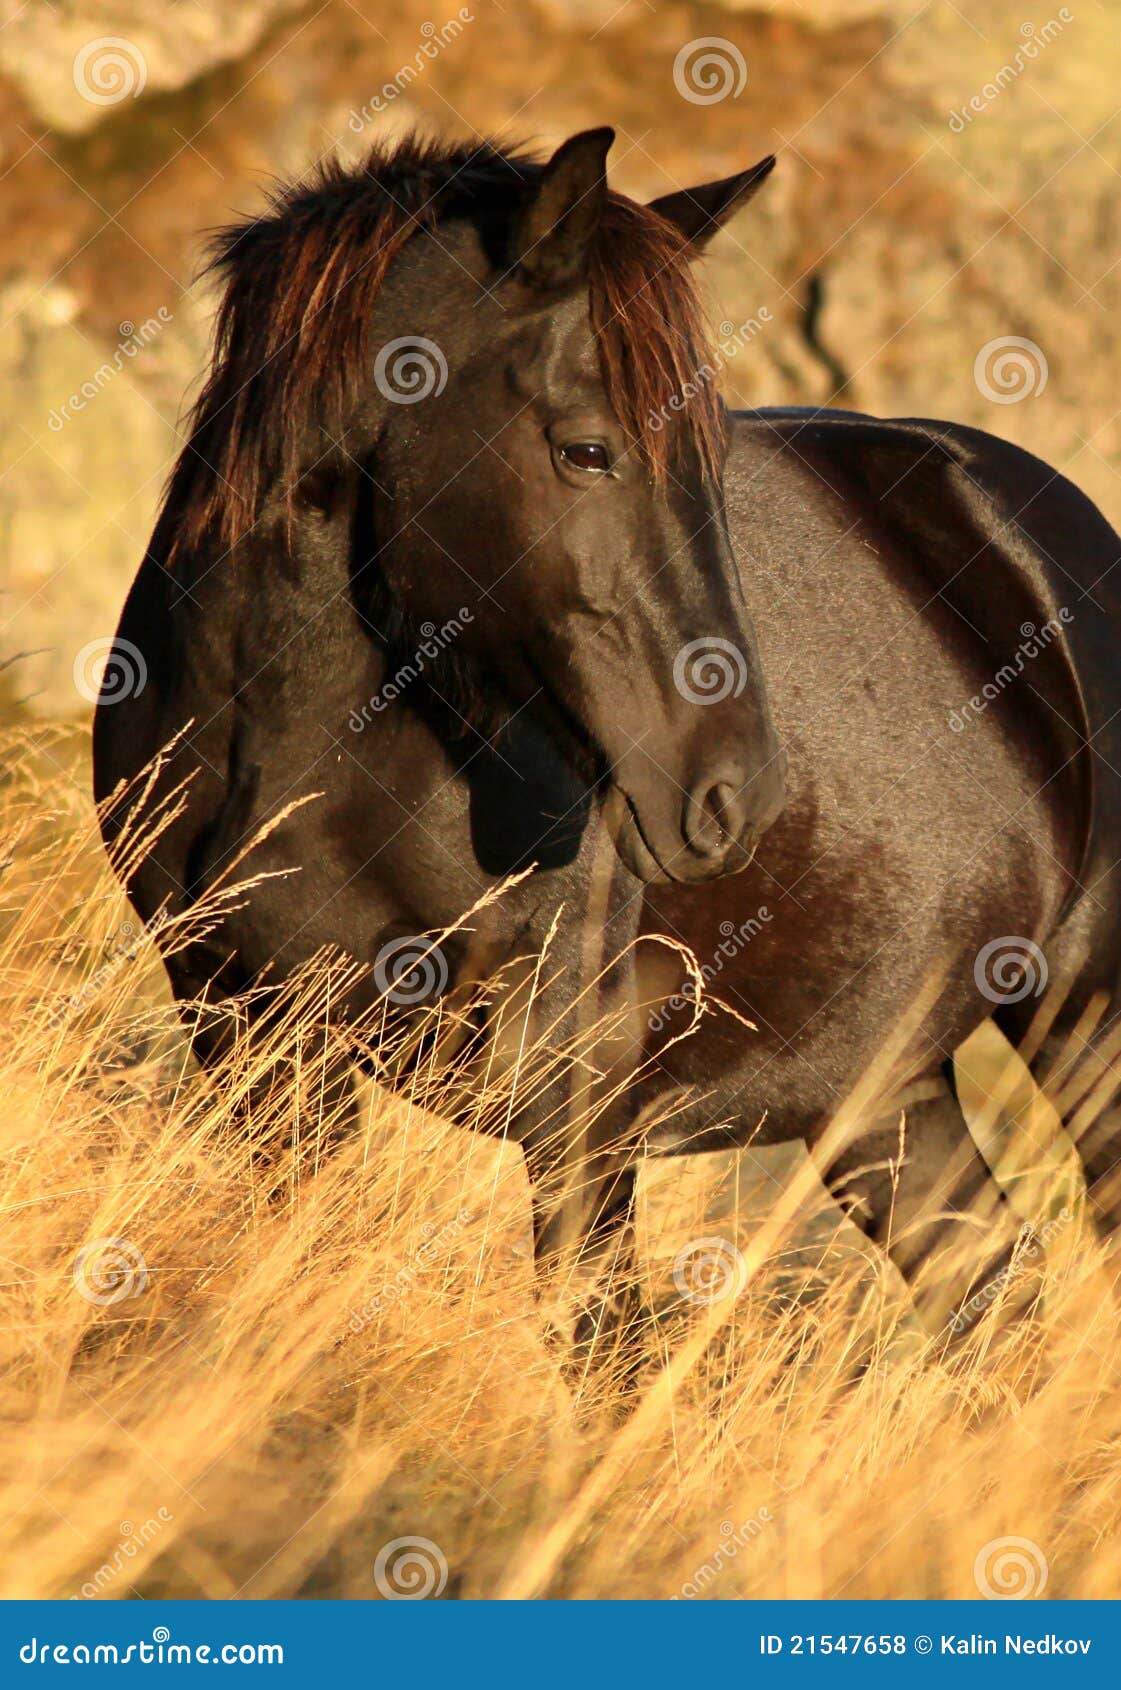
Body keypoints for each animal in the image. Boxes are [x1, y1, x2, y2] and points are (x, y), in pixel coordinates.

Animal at [93, 127, 1121, 1371]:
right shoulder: (244, 1029)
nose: (730, 794)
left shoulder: (572, 1092)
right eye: (585, 451)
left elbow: (603, 1352)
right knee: (983, 1285)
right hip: (882, 1085)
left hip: (1083, 1021)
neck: (296, 759)